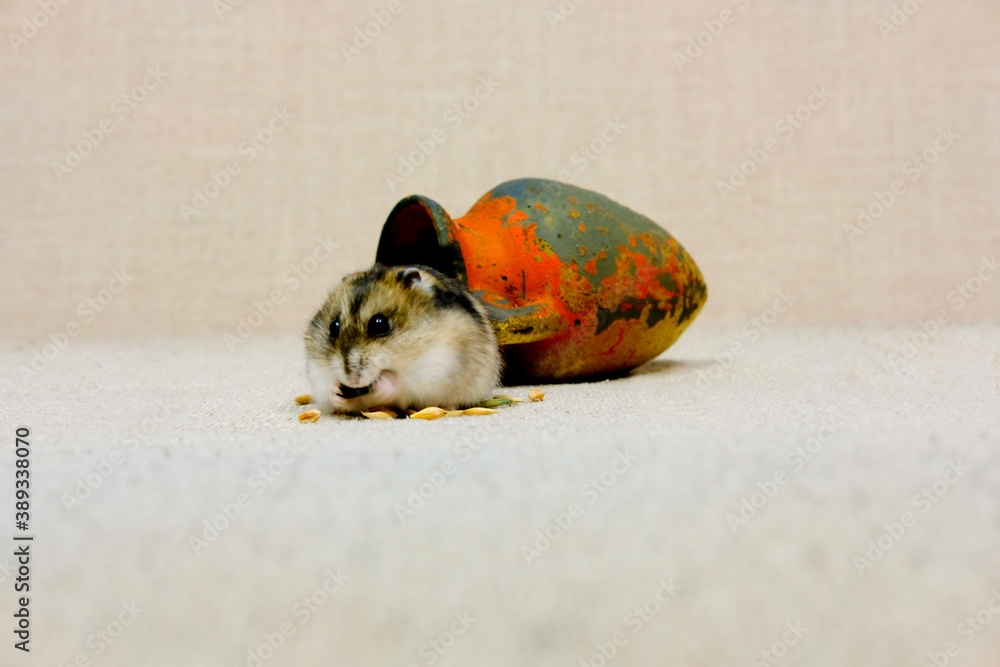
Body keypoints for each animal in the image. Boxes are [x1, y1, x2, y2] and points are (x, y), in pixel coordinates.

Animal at [304, 264, 502, 414]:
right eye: (333, 326)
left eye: (379, 324)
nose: (353, 381)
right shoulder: (318, 371)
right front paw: (335, 390)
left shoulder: (435, 366)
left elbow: (398, 382)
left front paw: (383, 381)